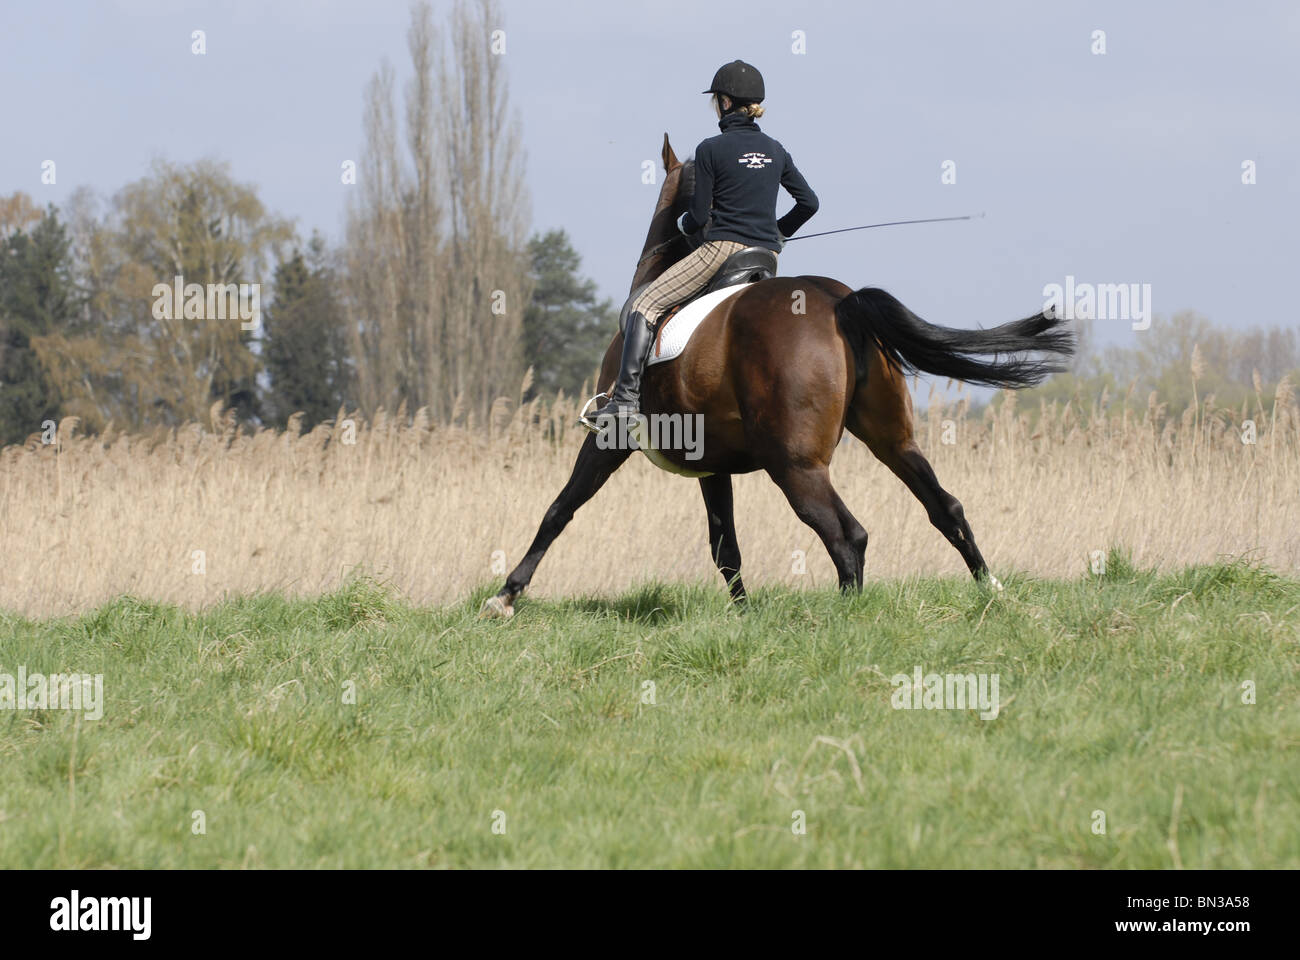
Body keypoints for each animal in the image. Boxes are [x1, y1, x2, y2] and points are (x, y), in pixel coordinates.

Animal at [481, 134, 1074, 617]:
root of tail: (840, 302)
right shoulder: (712, 464)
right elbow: (725, 546)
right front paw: (743, 616)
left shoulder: (610, 441)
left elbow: (560, 509)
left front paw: (506, 595)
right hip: (891, 440)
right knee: (943, 506)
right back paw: (992, 592)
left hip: (794, 464)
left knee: (848, 533)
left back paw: (848, 614)